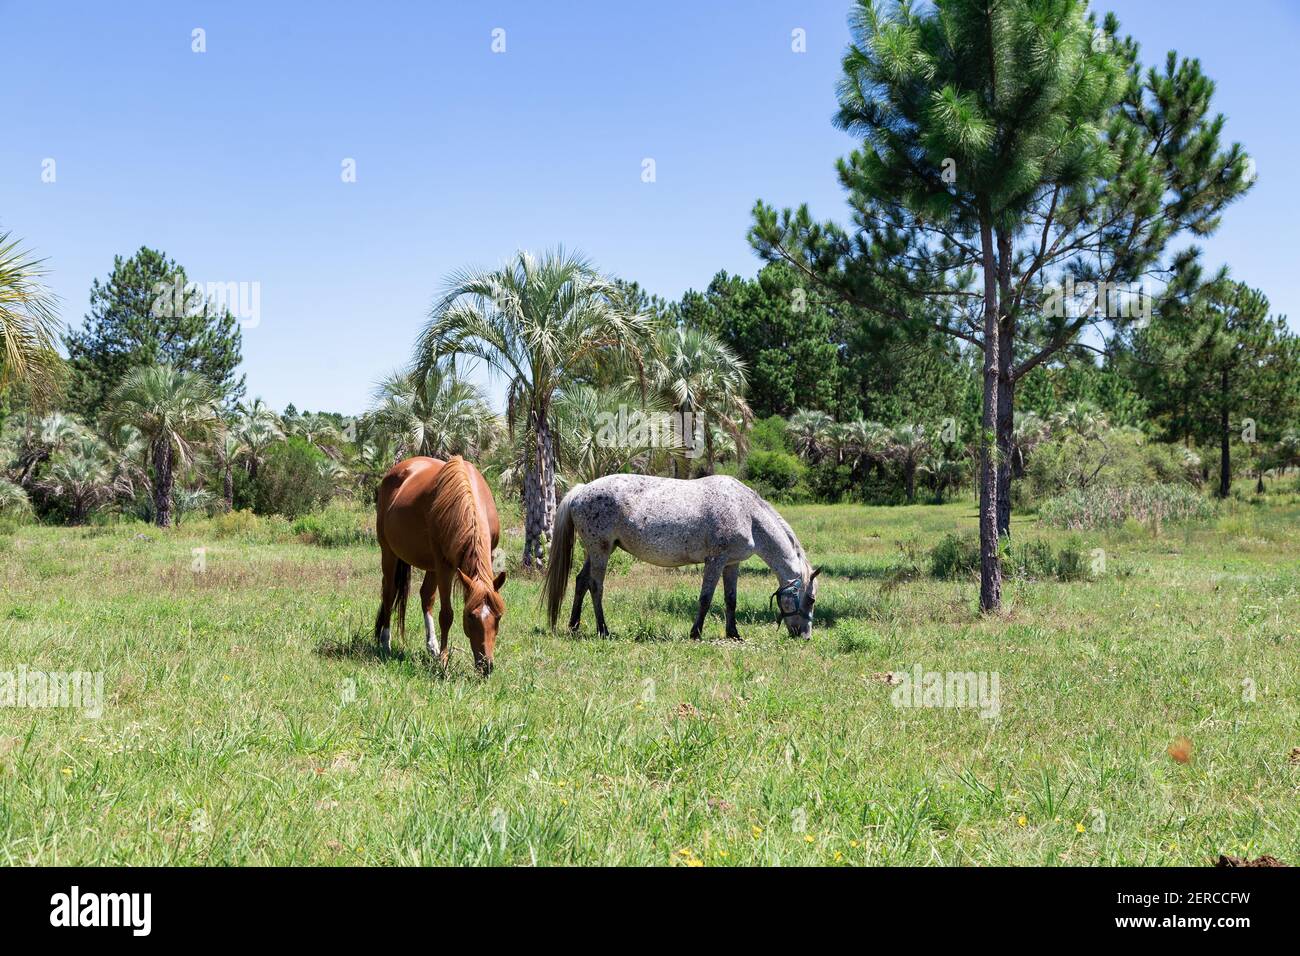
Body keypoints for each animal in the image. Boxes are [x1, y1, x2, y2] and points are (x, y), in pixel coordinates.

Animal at [374, 455, 506, 674]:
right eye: (470, 616)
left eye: (498, 617)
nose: (486, 665)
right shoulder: (445, 566)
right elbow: (446, 615)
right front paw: (444, 661)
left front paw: (439, 654)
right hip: (389, 553)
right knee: (389, 592)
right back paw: (386, 643)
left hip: (431, 566)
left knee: (426, 597)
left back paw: (432, 647)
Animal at [545, 474, 820, 641]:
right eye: (811, 599)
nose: (805, 636)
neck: (746, 513)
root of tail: (581, 491)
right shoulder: (715, 561)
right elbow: (706, 599)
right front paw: (695, 632)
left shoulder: (732, 564)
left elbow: (731, 600)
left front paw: (733, 633)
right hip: (600, 551)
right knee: (595, 586)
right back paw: (603, 630)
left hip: (599, 550)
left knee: (581, 581)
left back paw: (573, 625)